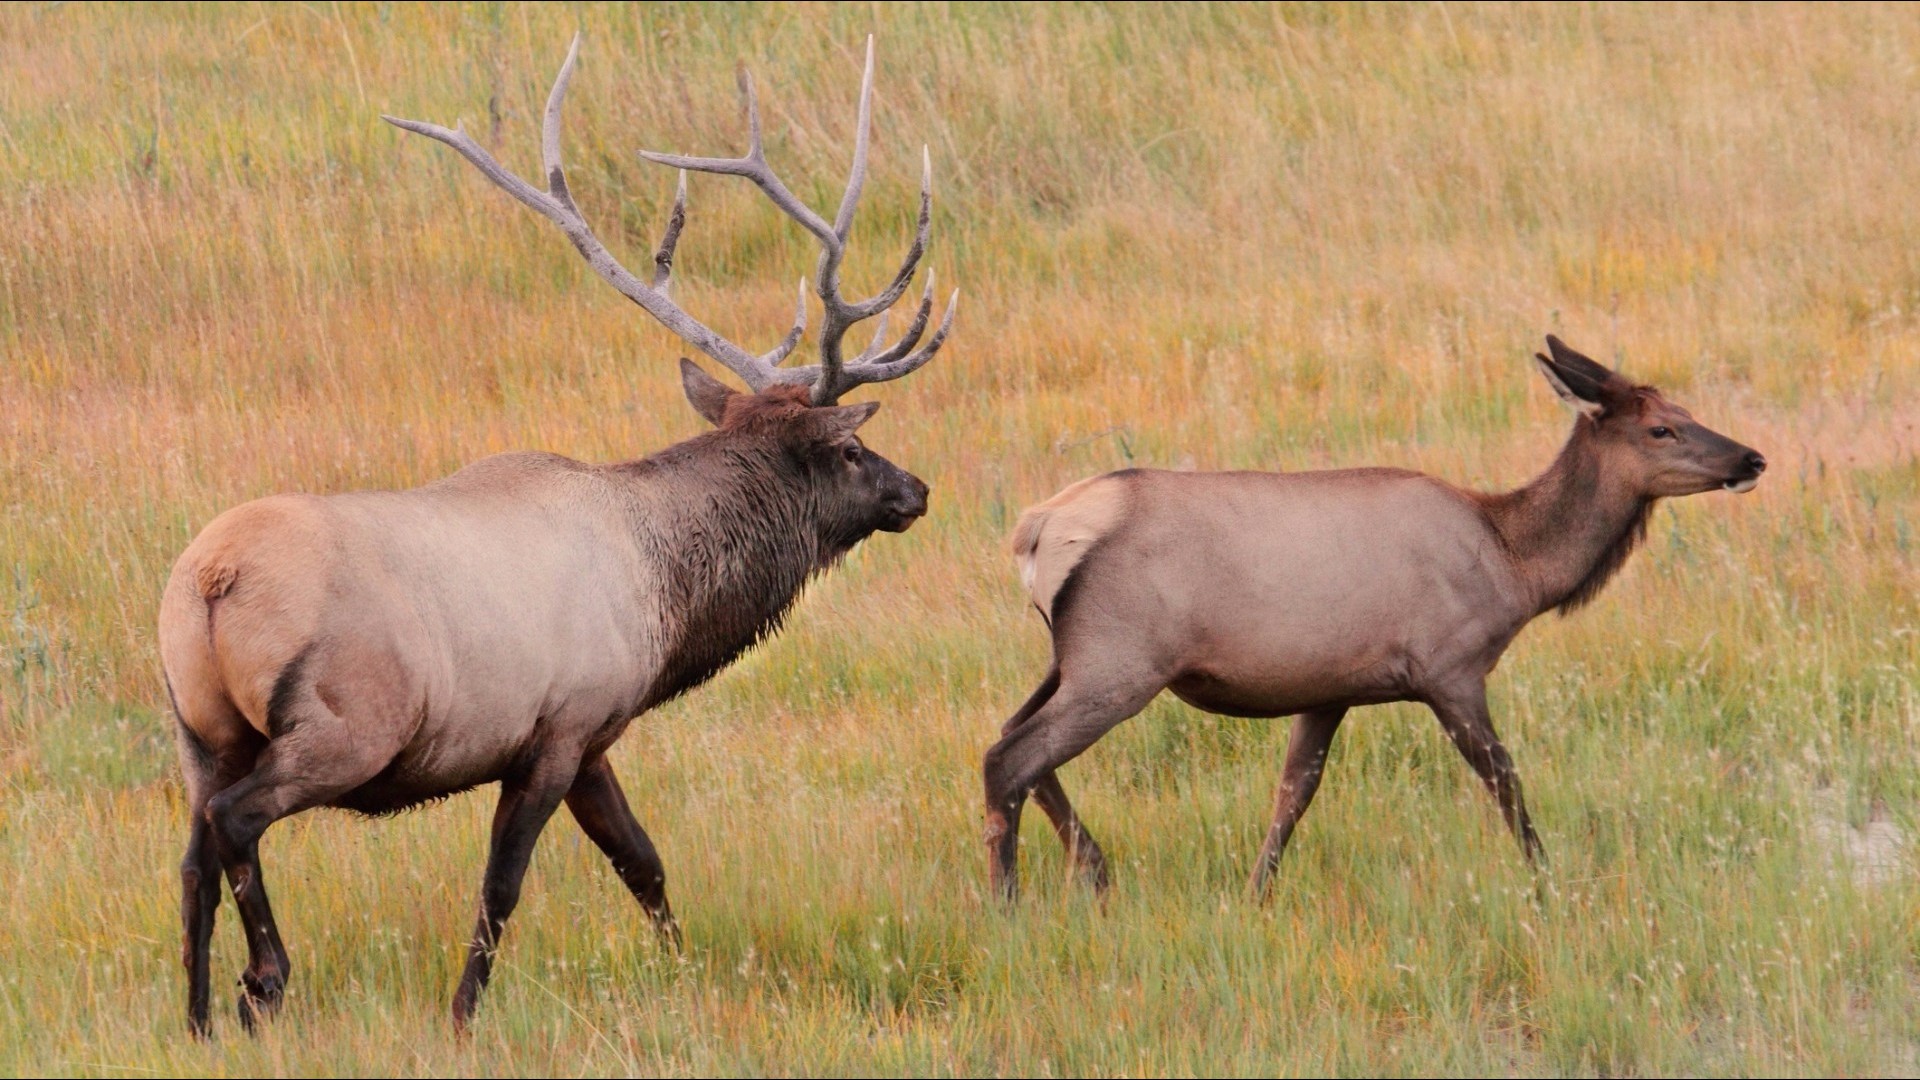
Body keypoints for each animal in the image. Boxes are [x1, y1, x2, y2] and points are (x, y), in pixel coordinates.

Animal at [159, 35, 956, 1036]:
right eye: (852, 449)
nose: (915, 489)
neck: (668, 602)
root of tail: (210, 581)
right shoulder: (560, 729)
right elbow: (502, 890)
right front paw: (462, 1015)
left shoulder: (597, 739)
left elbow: (643, 861)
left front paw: (684, 969)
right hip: (341, 728)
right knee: (236, 823)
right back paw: (263, 980)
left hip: (198, 729)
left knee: (191, 858)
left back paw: (196, 1015)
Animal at [984, 337, 1765, 901]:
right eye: (1662, 428)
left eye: (1686, 412)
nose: (1751, 457)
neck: (1516, 566)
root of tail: (1035, 530)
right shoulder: (1450, 669)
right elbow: (1506, 782)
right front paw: (1550, 884)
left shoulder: (1328, 689)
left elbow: (1292, 796)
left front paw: (1255, 892)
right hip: (1119, 662)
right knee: (1010, 757)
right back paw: (1008, 900)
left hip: (1067, 658)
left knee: (1013, 740)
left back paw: (1094, 870)